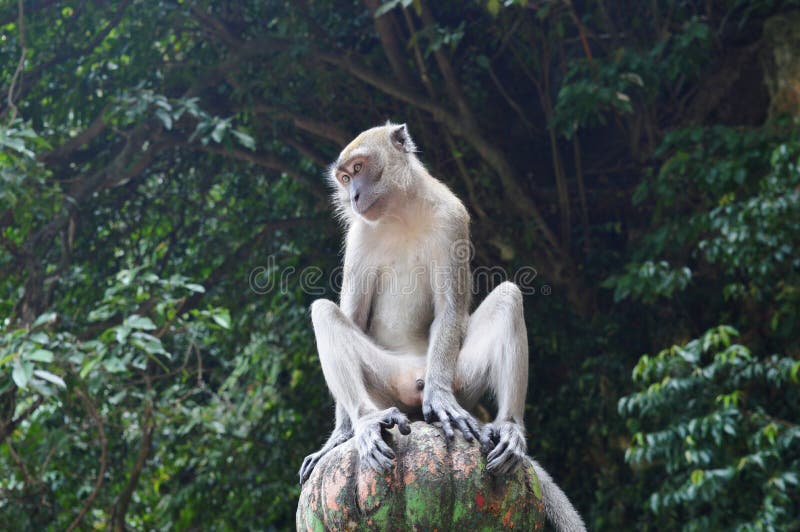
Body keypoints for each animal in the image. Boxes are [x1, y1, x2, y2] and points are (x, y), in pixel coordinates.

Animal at [299, 123, 585, 531]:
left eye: (358, 168)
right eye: (344, 178)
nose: (352, 195)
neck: (400, 212)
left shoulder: (452, 217)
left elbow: (451, 309)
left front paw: (438, 396)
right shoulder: (359, 236)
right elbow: (351, 316)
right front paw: (339, 436)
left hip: (461, 379)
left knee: (509, 297)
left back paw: (507, 426)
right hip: (386, 383)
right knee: (324, 313)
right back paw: (366, 422)